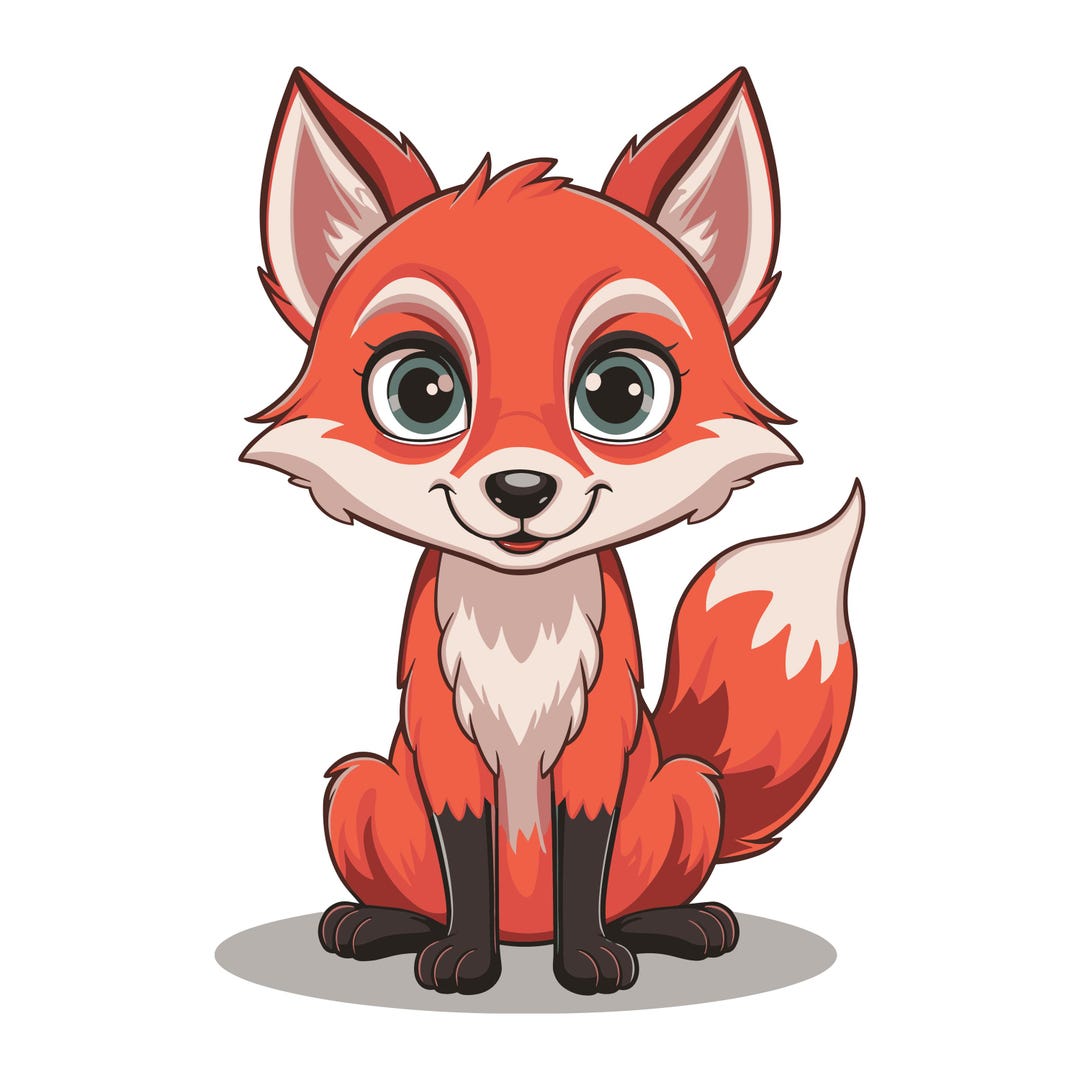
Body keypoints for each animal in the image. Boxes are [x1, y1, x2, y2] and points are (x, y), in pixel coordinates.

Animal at [242, 67, 863, 996]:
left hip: (687, 791)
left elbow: (585, 857)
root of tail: (524, 929)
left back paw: (671, 925)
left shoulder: (598, 740)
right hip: (360, 789)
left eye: (621, 391)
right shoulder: (444, 740)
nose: (521, 488)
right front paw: (464, 958)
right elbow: (466, 859)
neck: (520, 627)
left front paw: (590, 961)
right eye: (421, 392)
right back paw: (381, 924)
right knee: (409, 880)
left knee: (636, 889)